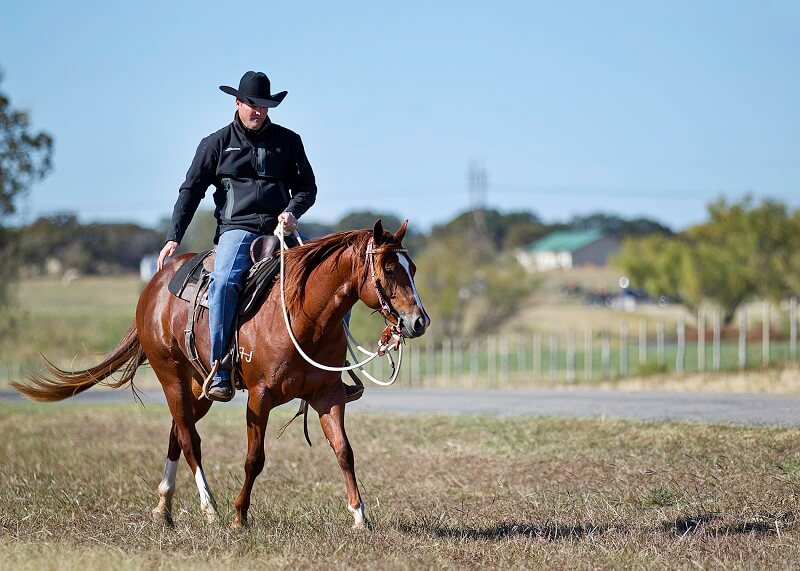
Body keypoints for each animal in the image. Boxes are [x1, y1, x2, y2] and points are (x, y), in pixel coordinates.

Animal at [12, 219, 430, 529]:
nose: (419, 321)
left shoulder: (328, 395)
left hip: (200, 386)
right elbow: (254, 458)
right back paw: (209, 506)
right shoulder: (260, 397)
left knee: (176, 432)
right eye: (389, 269)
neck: (302, 315)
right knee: (188, 438)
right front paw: (239, 515)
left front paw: (359, 516)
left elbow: (344, 451)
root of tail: (155, 285)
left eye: (412, 268)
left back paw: (164, 508)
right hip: (171, 376)